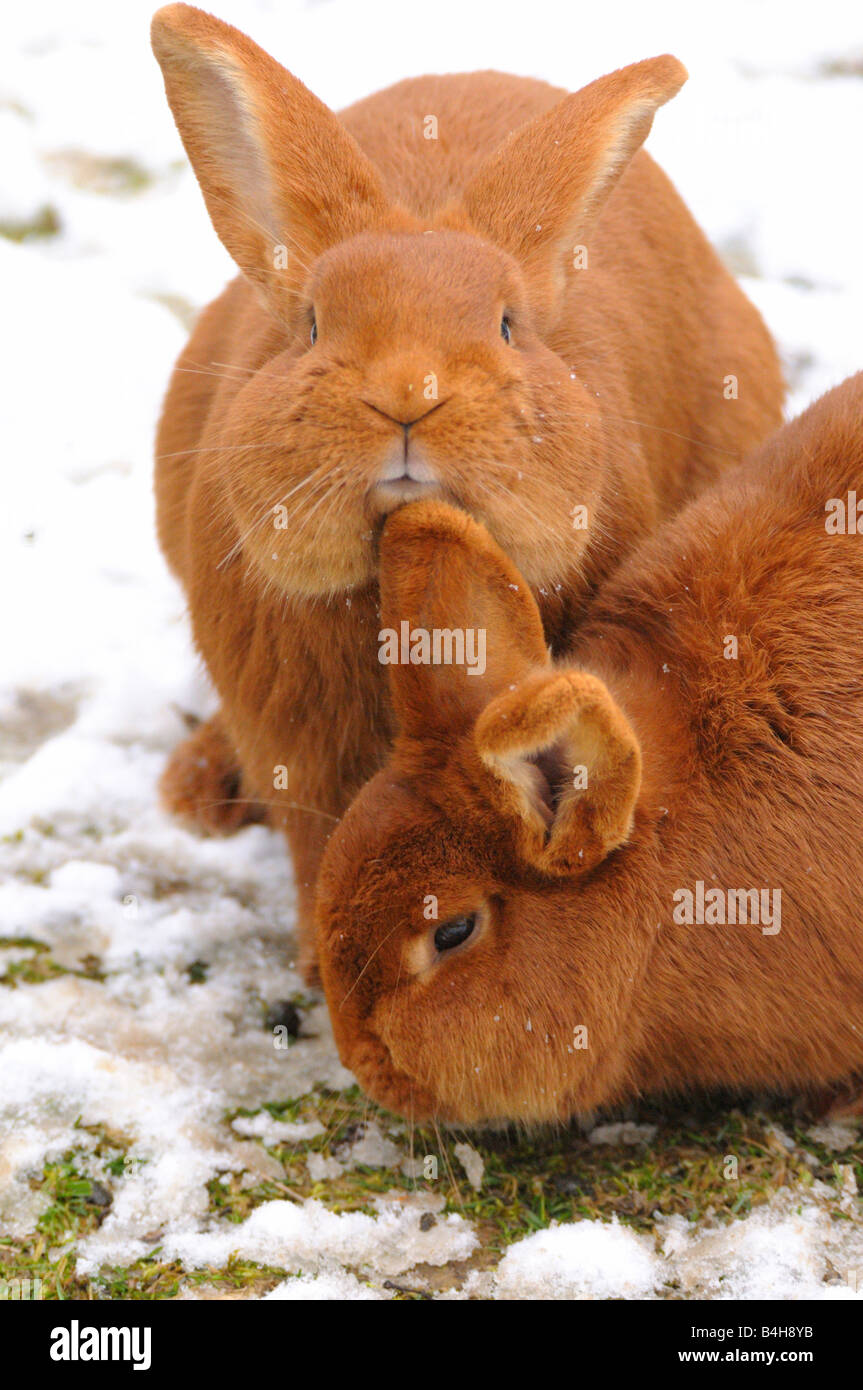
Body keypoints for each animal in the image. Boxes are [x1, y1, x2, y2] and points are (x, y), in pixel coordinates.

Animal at [150, 3, 784, 979]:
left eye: (507, 325)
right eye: (312, 325)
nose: (409, 395)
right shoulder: (301, 750)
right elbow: (315, 839)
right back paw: (198, 789)